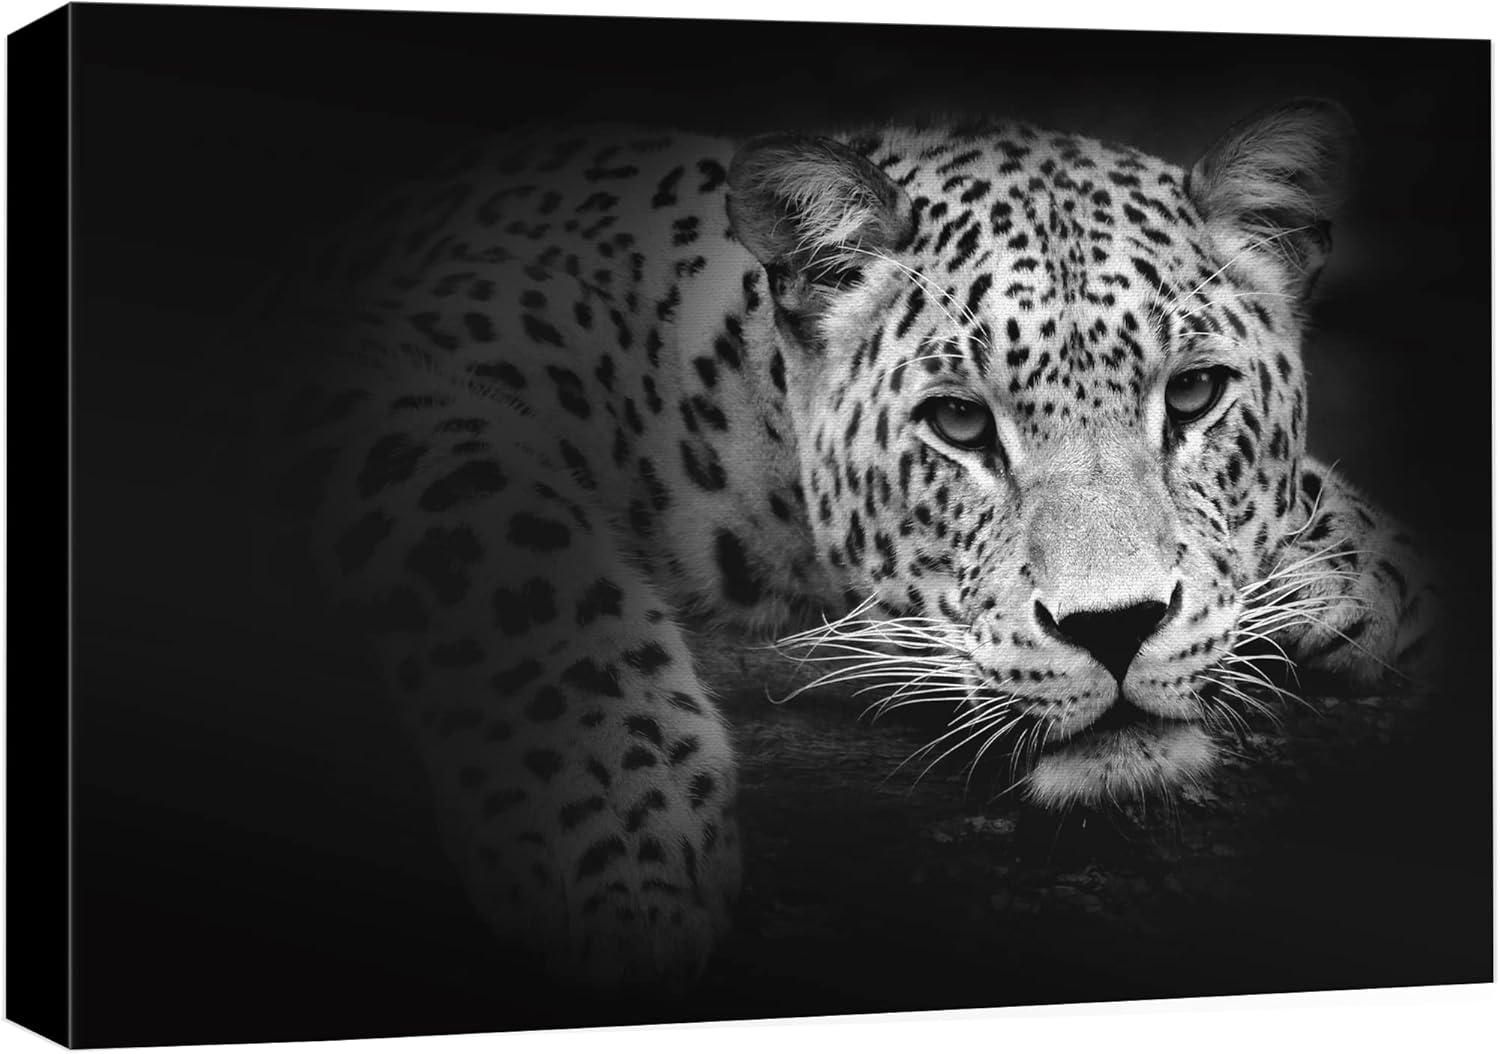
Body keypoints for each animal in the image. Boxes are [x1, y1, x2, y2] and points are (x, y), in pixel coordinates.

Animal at [267, 98, 1439, 993]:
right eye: (959, 423)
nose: (1117, 629)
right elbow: (500, 534)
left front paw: (1357, 565)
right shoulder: (383, 368)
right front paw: (616, 832)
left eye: (1194, 395)